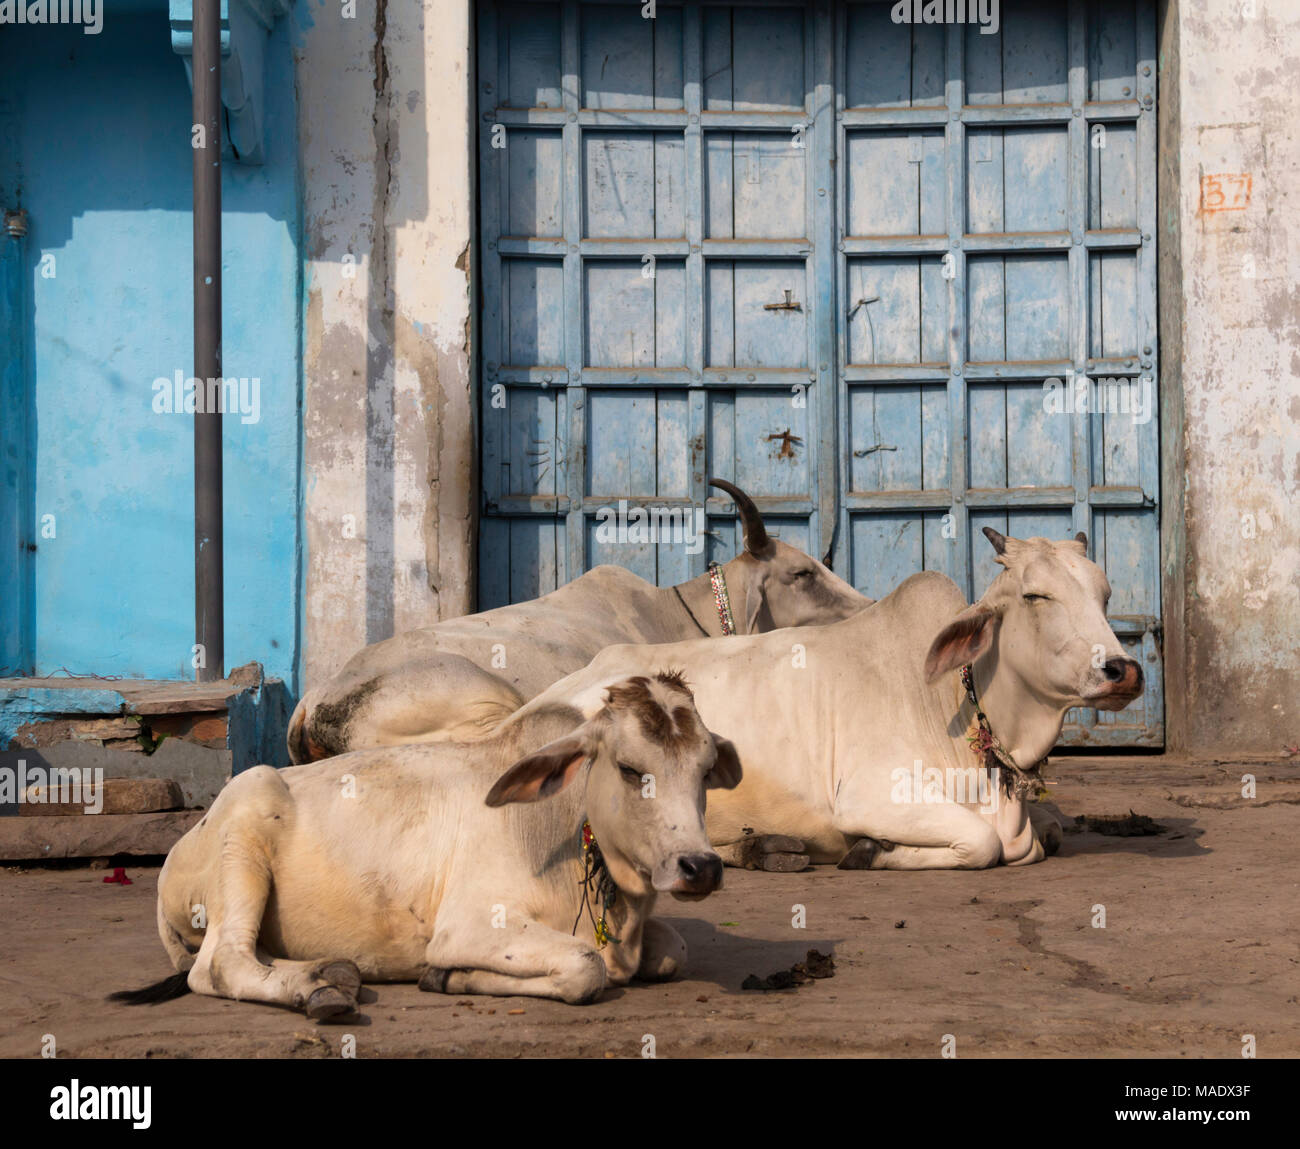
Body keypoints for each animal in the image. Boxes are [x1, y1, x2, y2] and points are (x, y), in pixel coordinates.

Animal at [109, 672, 741, 1015]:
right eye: (632, 770)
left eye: (706, 770)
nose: (701, 867)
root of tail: (174, 858)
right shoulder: (469, 925)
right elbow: (586, 968)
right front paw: (444, 976)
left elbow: (673, 950)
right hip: (245, 819)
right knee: (221, 965)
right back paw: (318, 987)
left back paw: (329, 970)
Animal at [502, 529, 1144, 872]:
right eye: (1036, 596)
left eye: (1105, 592)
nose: (1123, 671)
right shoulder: (871, 795)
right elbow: (983, 844)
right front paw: (871, 851)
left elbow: (1028, 842)